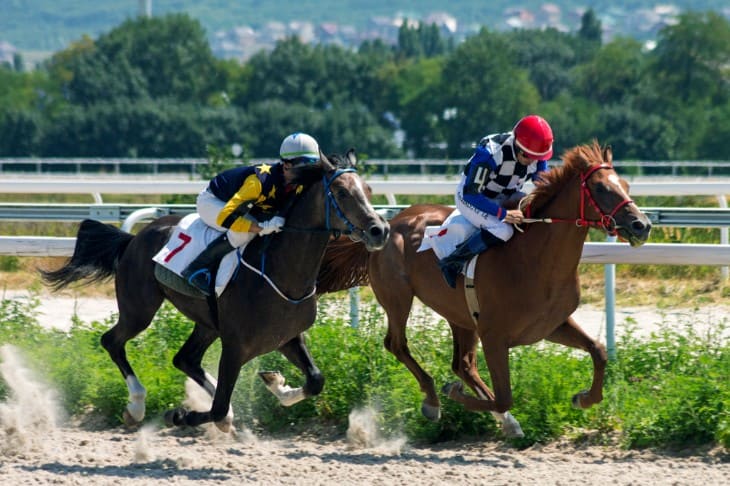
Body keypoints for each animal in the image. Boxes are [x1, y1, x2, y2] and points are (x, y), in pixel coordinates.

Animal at [41, 150, 390, 432]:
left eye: (369, 190)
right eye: (341, 192)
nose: (380, 230)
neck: (282, 272)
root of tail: (133, 239)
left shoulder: (287, 337)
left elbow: (315, 380)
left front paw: (277, 384)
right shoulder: (235, 346)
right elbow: (219, 407)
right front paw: (180, 415)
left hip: (207, 323)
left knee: (185, 359)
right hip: (138, 309)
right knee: (112, 342)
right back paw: (136, 406)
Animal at [317, 142, 652, 438]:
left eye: (625, 184)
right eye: (601, 188)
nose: (642, 225)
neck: (536, 260)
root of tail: (387, 224)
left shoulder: (550, 325)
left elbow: (599, 351)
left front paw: (582, 398)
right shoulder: (494, 336)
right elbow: (504, 396)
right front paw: (454, 395)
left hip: (460, 315)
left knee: (463, 364)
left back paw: (501, 419)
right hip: (398, 298)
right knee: (397, 344)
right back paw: (433, 400)